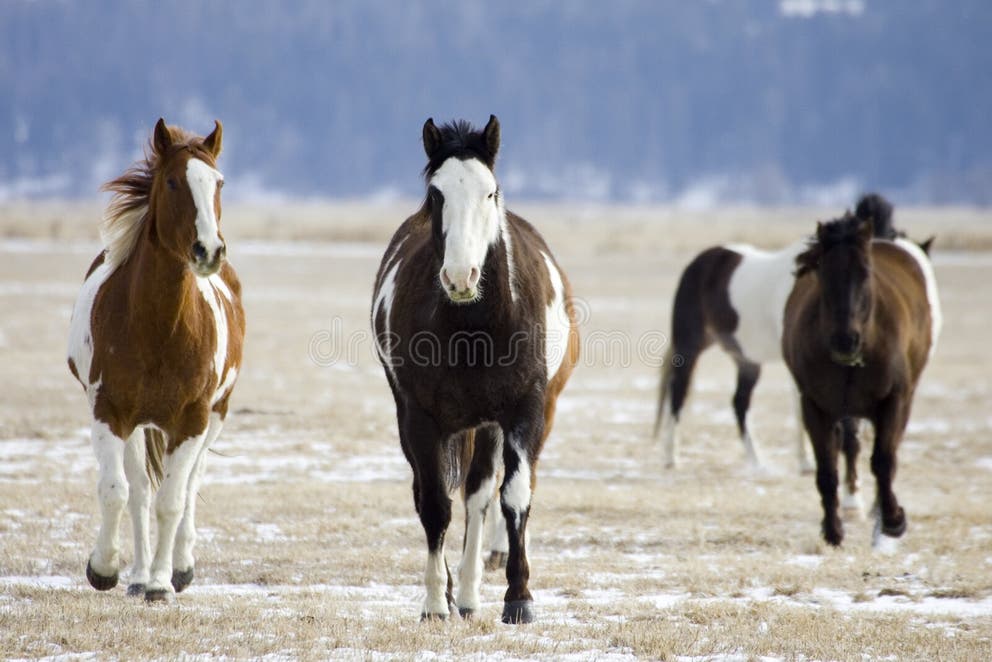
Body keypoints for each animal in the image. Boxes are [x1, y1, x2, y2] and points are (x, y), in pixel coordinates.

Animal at [67, 118, 245, 601]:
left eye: (219, 182)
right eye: (172, 181)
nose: (209, 250)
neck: (159, 329)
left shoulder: (193, 420)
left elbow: (173, 500)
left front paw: (164, 584)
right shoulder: (108, 411)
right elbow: (119, 491)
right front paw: (105, 569)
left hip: (214, 416)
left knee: (188, 485)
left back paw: (177, 568)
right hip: (138, 424)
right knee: (140, 490)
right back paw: (138, 574)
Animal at [371, 115, 579, 623]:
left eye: (490, 192)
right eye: (436, 195)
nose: (460, 277)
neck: (473, 329)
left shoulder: (524, 412)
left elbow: (512, 497)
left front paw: (519, 598)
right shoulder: (419, 418)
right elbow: (433, 505)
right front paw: (433, 603)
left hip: (488, 426)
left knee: (480, 495)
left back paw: (468, 595)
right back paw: (453, 594)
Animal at [653, 194, 903, 499]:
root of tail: (702, 261)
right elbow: (800, 408)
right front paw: (807, 463)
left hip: (746, 359)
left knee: (739, 403)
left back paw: (756, 461)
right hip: (689, 346)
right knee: (678, 392)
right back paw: (670, 457)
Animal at [782, 214, 940, 549]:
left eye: (866, 273)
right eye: (822, 271)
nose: (845, 340)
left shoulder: (893, 399)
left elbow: (883, 460)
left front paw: (893, 521)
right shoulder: (815, 406)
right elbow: (827, 469)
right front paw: (832, 530)